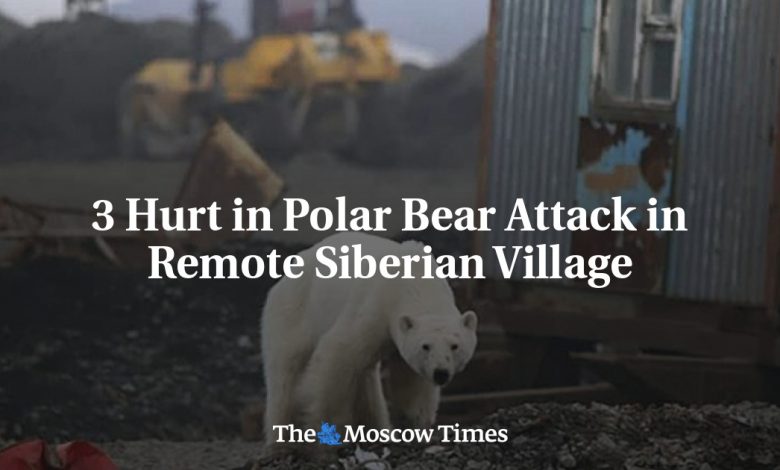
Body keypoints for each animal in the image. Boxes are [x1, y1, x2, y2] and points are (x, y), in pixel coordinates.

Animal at [260, 232, 478, 452]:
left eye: (454, 346)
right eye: (426, 346)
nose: (441, 373)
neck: (414, 282)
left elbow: (411, 379)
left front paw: (416, 426)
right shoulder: (374, 308)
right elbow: (336, 354)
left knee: (366, 377)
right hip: (293, 312)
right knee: (285, 372)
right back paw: (281, 441)